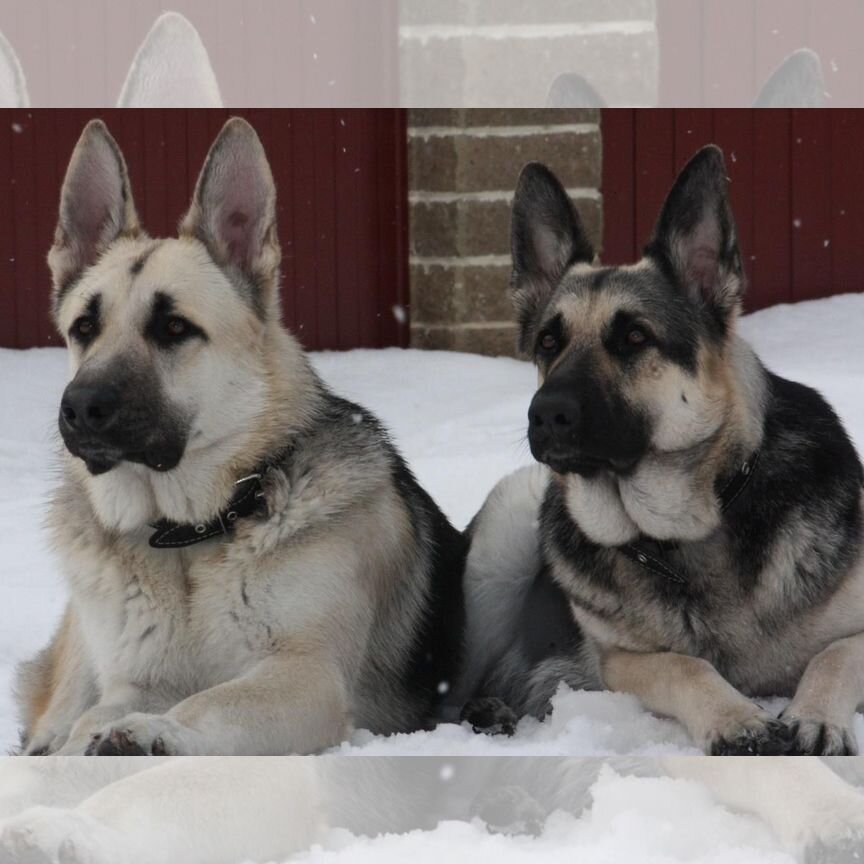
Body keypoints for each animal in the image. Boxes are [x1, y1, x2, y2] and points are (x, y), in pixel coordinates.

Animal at [13, 120, 466, 756]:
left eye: (174, 327)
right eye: (84, 328)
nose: (79, 408)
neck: (186, 536)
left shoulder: (306, 674)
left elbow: (210, 701)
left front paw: (157, 733)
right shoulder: (137, 679)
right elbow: (96, 715)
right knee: (57, 716)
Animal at [460, 145, 864, 752]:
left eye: (634, 338)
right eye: (550, 342)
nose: (545, 414)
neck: (686, 535)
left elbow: (836, 654)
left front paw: (815, 715)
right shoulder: (620, 661)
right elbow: (684, 665)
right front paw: (735, 718)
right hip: (507, 520)